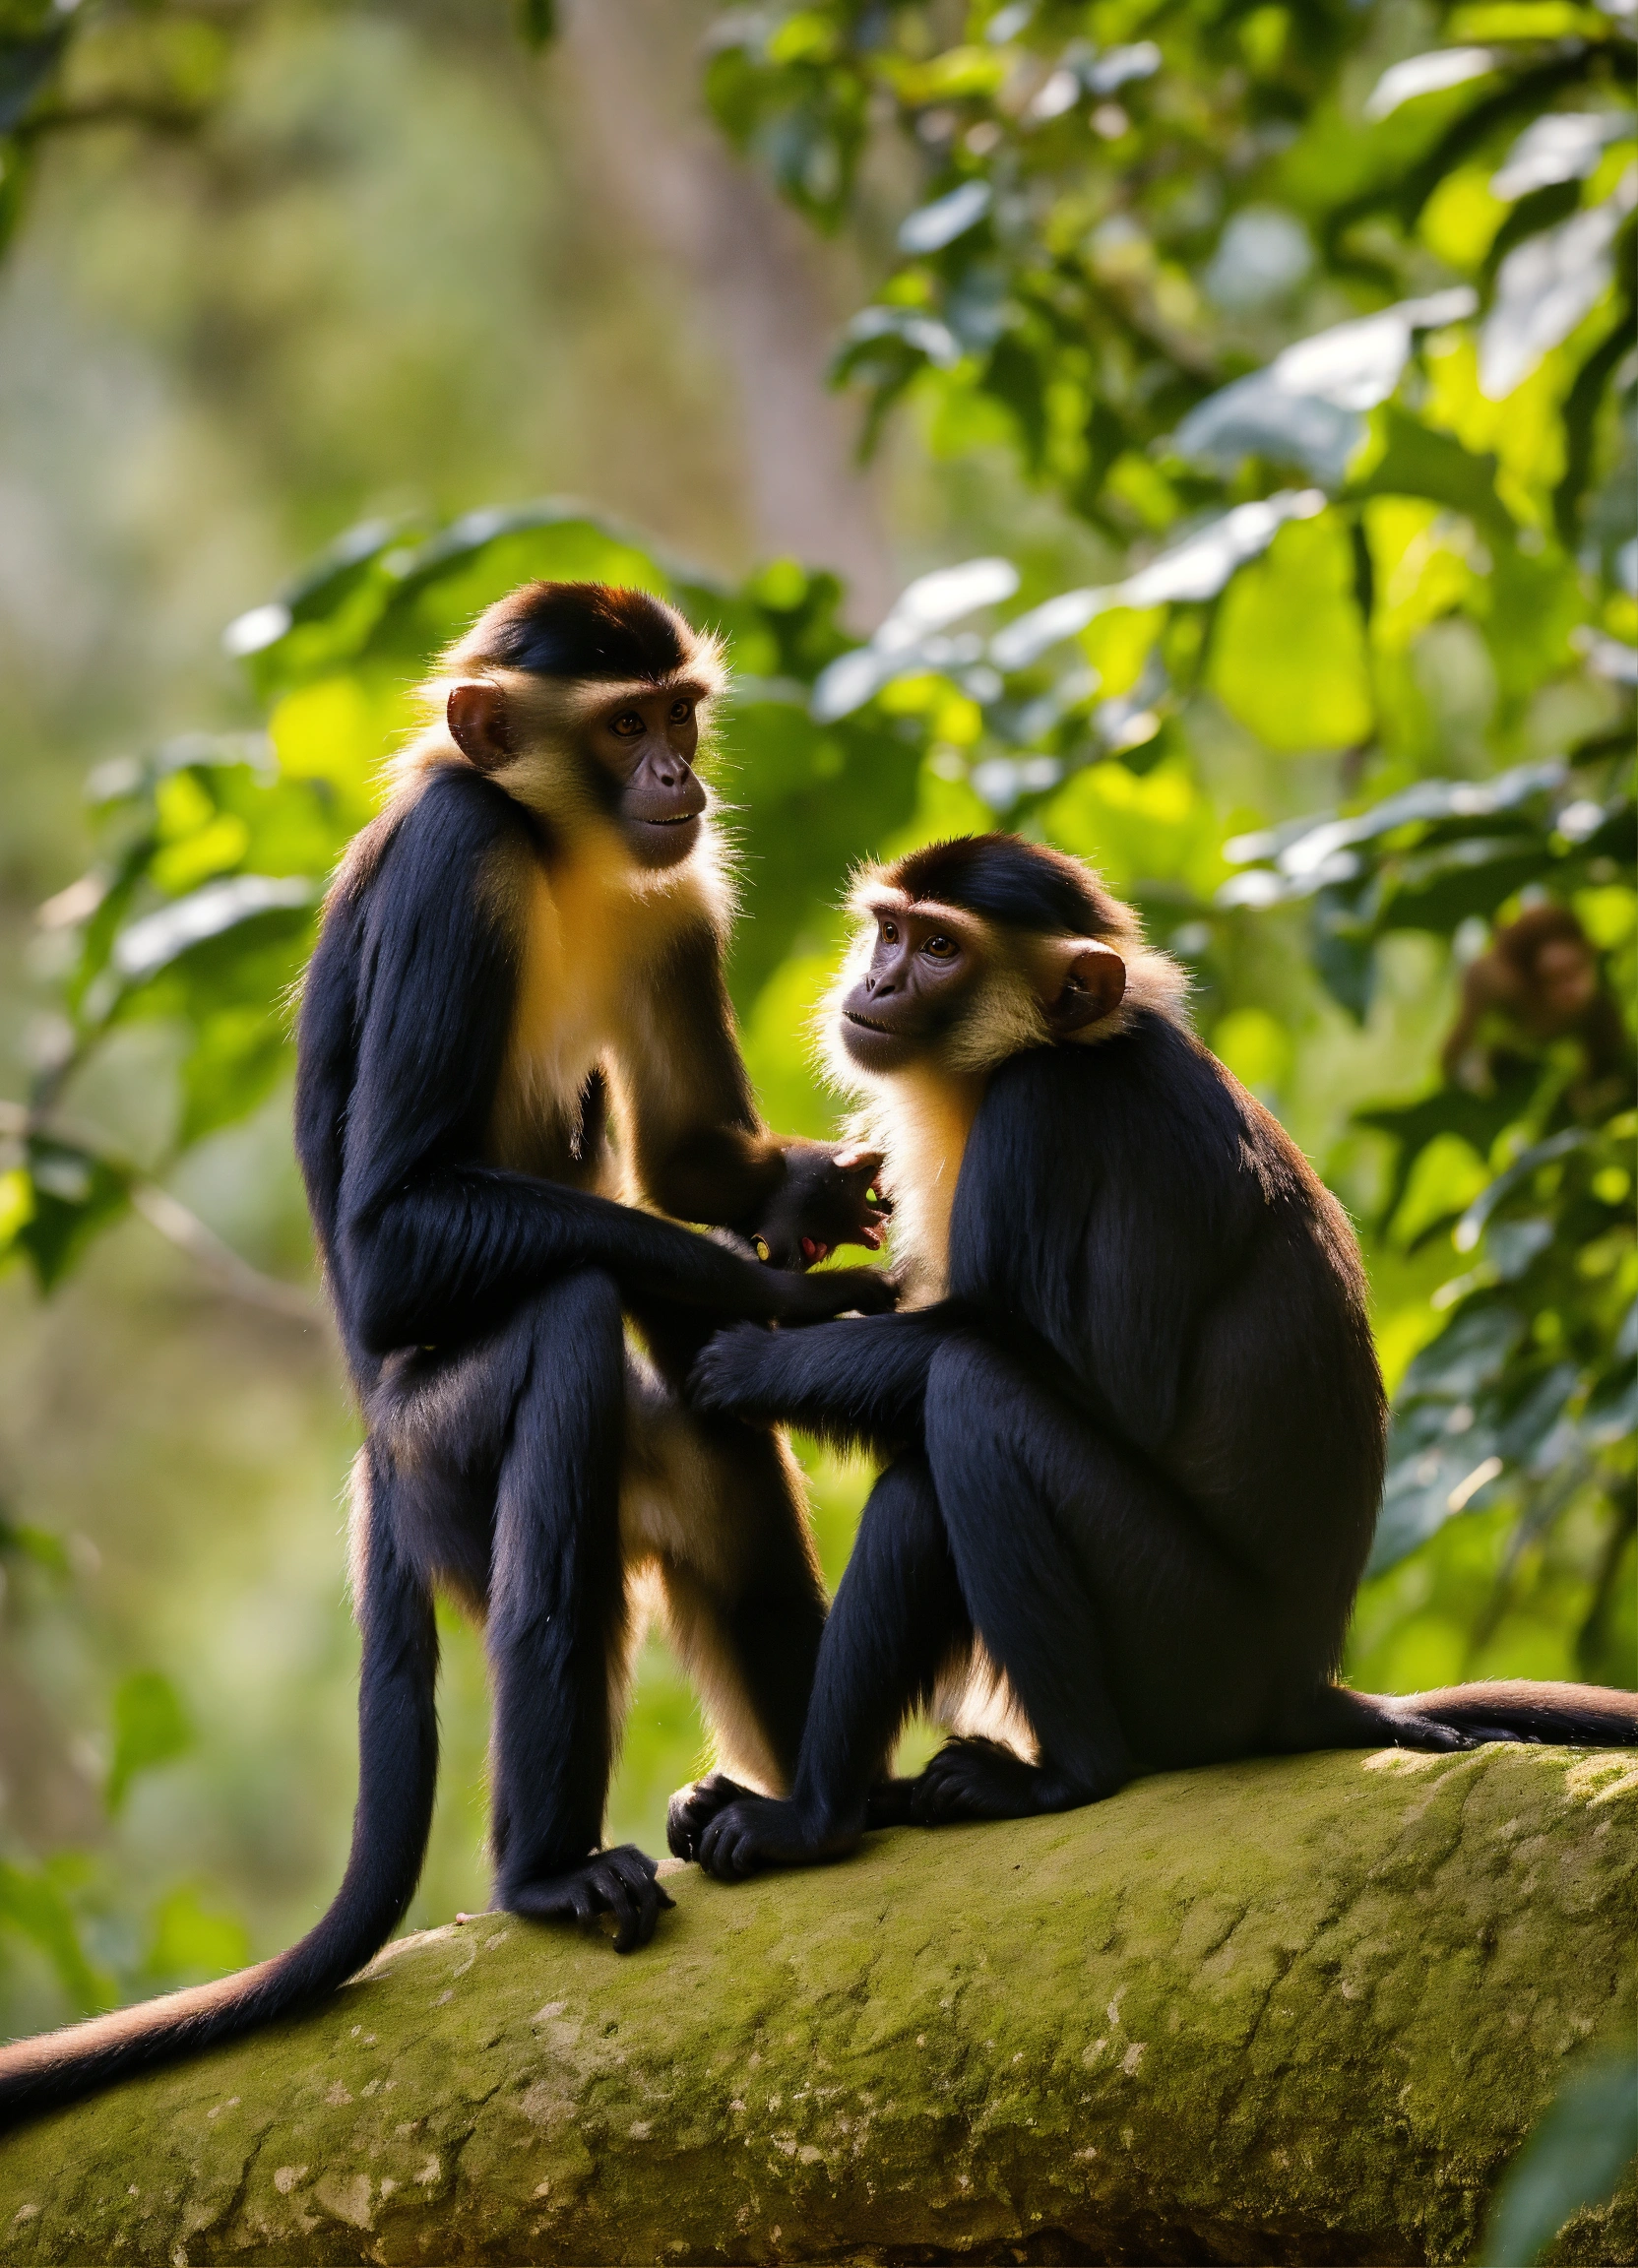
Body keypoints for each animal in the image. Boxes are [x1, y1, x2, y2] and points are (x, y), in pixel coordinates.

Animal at [0, 580, 896, 2126]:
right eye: (622, 724)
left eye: (679, 714)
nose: (677, 777)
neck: (558, 849)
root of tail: (375, 1456)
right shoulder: (455, 862)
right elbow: (398, 1236)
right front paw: (766, 1290)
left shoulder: (677, 889)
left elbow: (685, 1155)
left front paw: (804, 1200)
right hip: (443, 1448)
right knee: (574, 1323)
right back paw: (541, 1872)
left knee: (711, 1473)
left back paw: (818, 1812)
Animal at [1441, 902, 1634, 1117]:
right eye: (1556, 975)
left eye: (1576, 968)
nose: (1572, 986)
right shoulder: (1497, 983)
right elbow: (1467, 1015)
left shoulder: (1590, 1002)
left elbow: (1608, 1042)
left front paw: (1586, 1091)